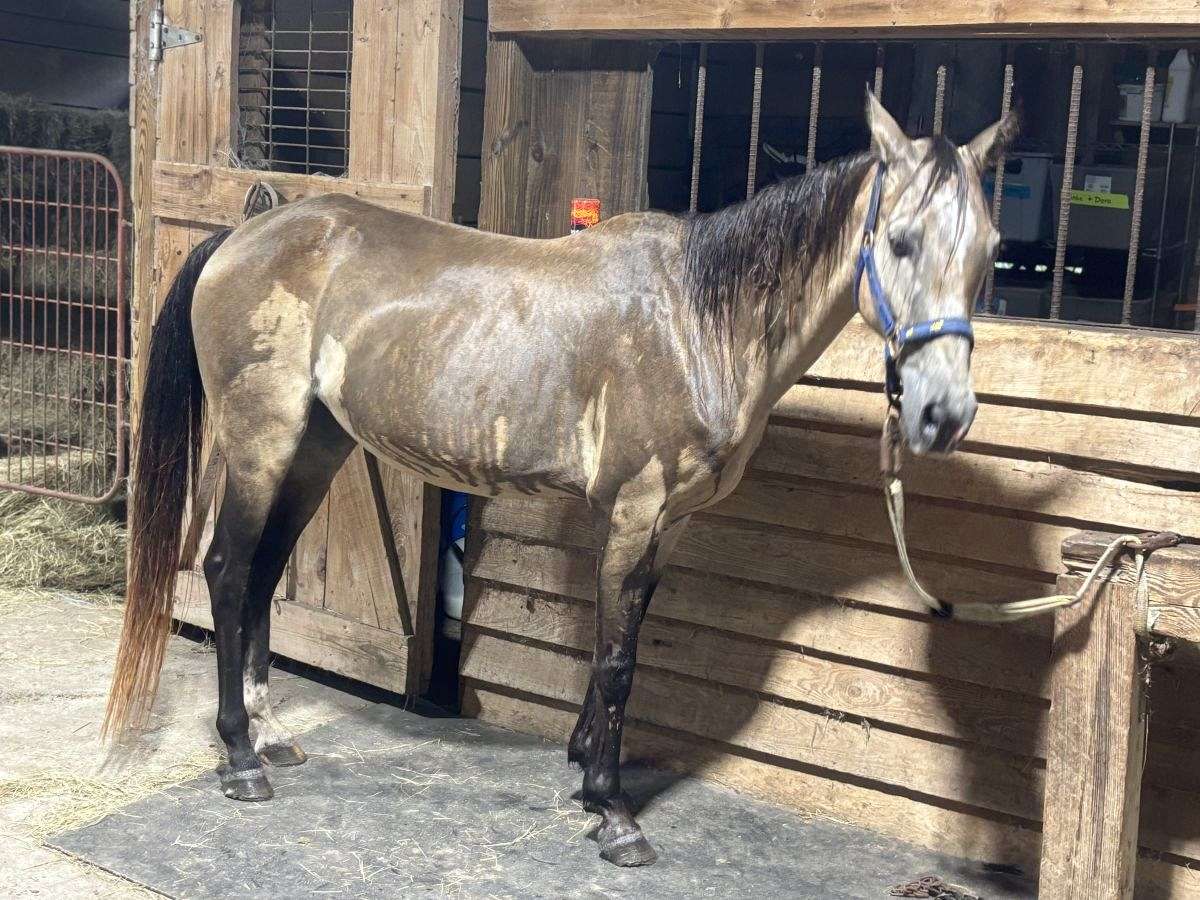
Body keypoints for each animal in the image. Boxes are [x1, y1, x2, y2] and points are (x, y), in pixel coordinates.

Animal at [107, 93, 1013, 867]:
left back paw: (268, 736)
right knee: (227, 572)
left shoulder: (671, 523)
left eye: (990, 252)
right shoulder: (637, 510)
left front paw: (584, 767)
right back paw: (239, 757)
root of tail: (240, 238)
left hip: (315, 451)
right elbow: (614, 661)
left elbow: (623, 641)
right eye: (900, 241)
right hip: (261, 444)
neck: (695, 321)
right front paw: (613, 812)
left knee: (261, 577)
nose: (943, 414)